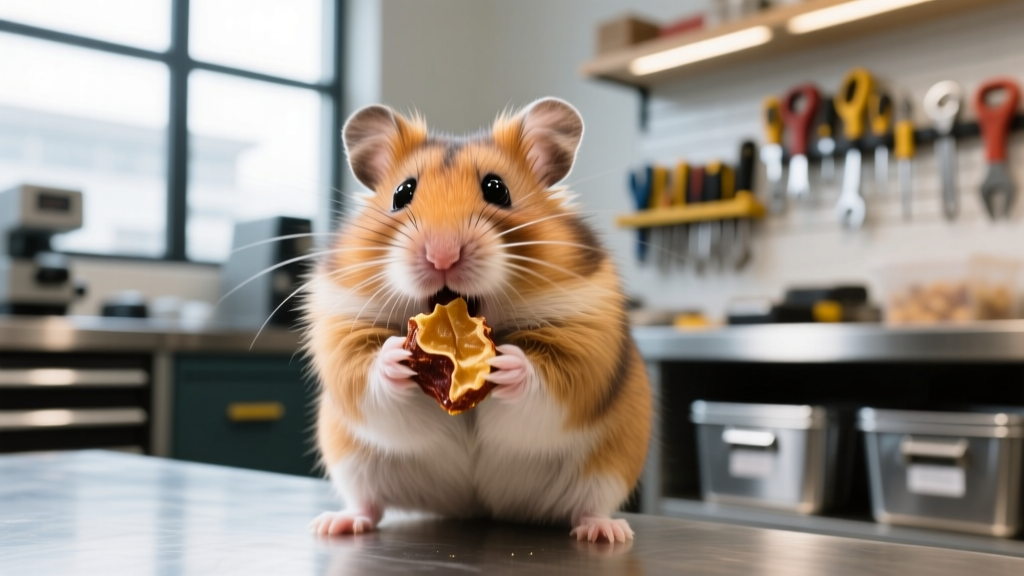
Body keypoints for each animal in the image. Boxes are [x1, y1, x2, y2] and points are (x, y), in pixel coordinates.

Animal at [305, 97, 651, 543]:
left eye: (497, 189)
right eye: (402, 193)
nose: (442, 255)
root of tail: (476, 505)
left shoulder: (586, 346)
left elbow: (549, 383)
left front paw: (506, 364)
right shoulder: (341, 338)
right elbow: (366, 376)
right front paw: (395, 357)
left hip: (609, 466)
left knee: (588, 507)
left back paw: (606, 532)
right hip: (351, 462)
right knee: (369, 504)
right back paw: (334, 524)